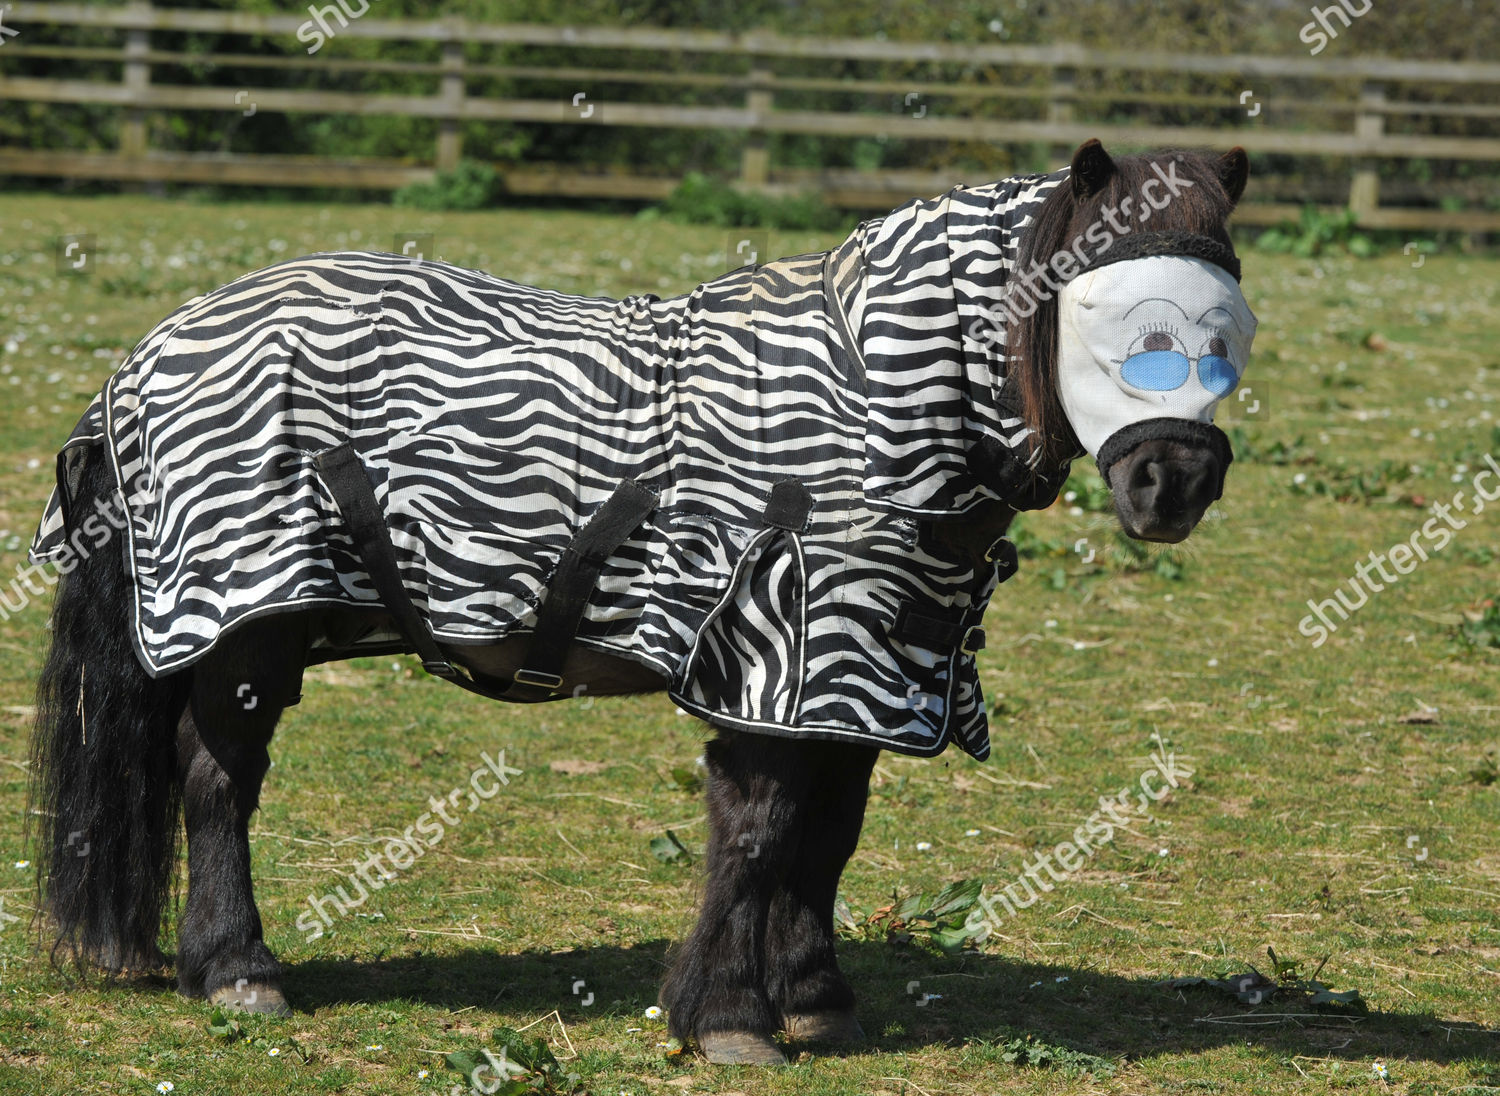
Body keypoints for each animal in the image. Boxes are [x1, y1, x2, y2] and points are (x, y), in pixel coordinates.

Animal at [27, 138, 1254, 1065]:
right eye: (1117, 327)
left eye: (1228, 332)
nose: (1175, 483)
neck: (865, 401)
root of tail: (151, 352)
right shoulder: (772, 659)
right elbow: (759, 832)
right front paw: (729, 1020)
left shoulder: (859, 676)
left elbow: (829, 836)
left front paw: (815, 1000)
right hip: (251, 628)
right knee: (216, 782)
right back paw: (239, 969)